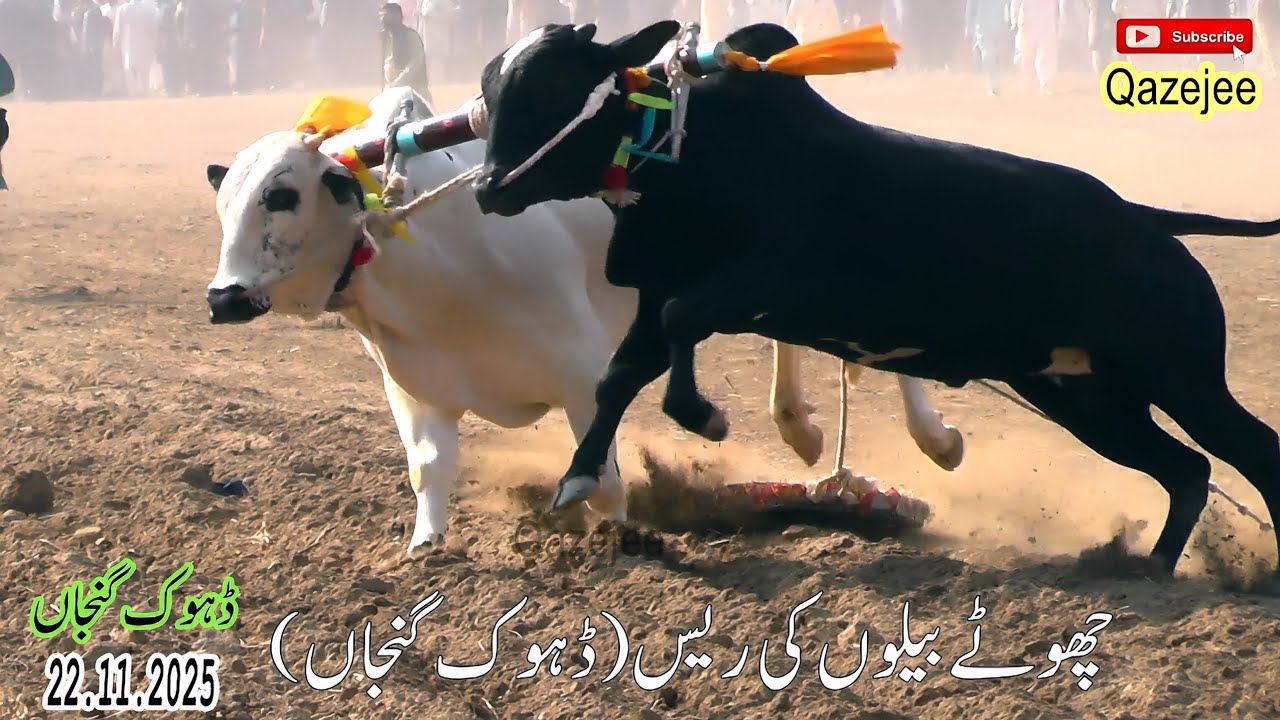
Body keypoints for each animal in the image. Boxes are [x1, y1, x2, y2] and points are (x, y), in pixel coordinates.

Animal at [200, 87, 962, 557]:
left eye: (282, 194)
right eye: (225, 201)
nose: (222, 298)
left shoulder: (581, 372)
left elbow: (602, 472)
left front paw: (626, 540)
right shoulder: (417, 388)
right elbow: (430, 469)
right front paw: (426, 548)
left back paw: (933, 437)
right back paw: (798, 425)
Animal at [465, 21, 1280, 589]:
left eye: (551, 87)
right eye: (493, 93)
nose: (488, 187)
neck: (695, 153)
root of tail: (1148, 220)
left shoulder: (770, 286)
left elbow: (677, 333)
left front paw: (706, 415)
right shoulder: (661, 290)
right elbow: (619, 375)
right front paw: (575, 482)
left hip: (1183, 377)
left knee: (1252, 450)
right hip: (1087, 397)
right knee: (1187, 470)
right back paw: (1151, 566)